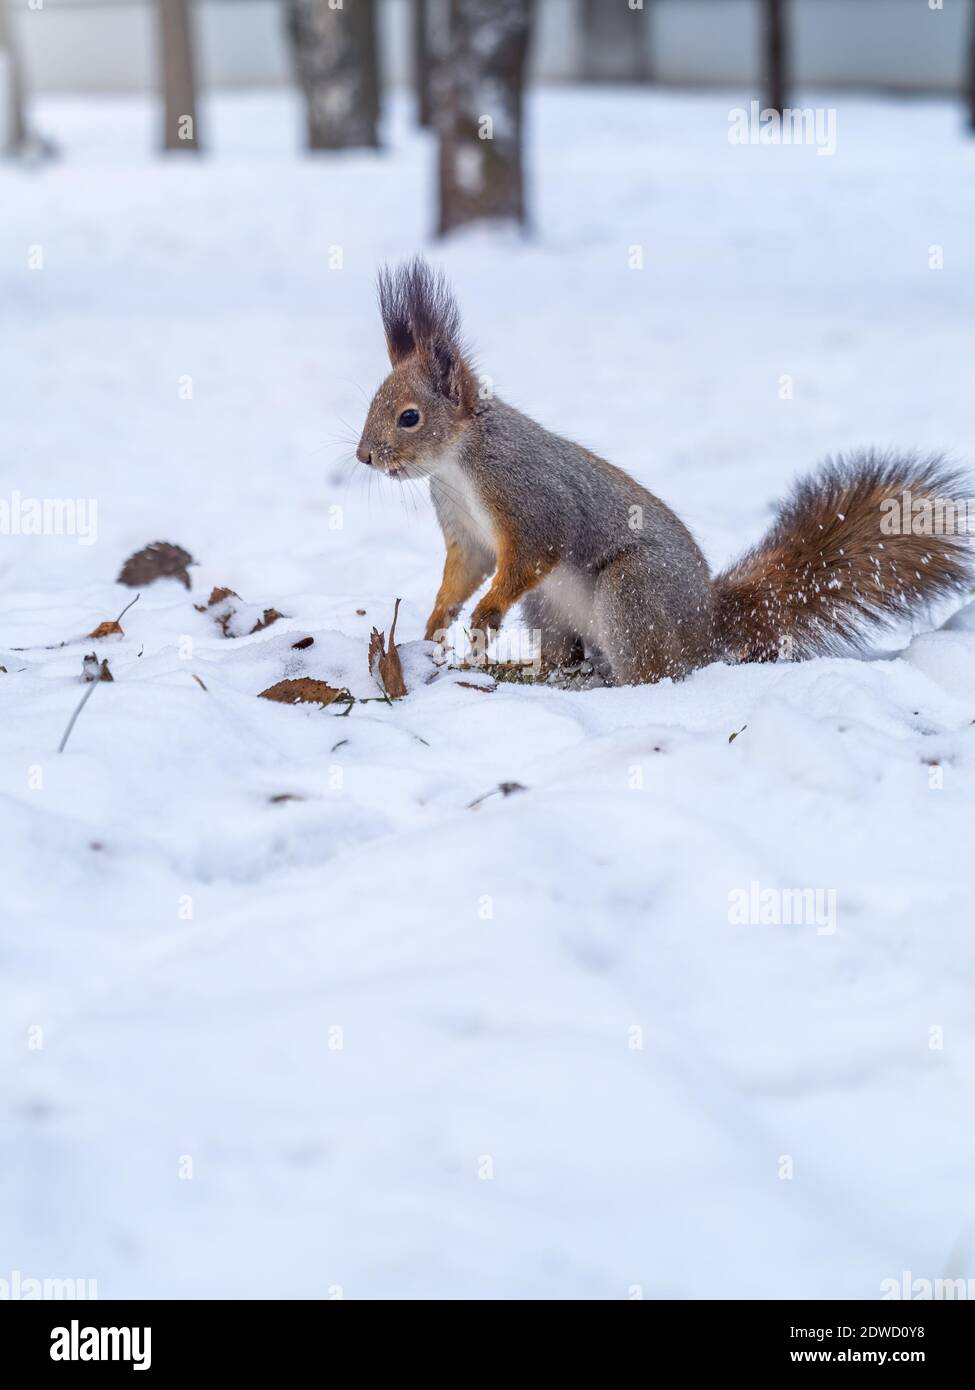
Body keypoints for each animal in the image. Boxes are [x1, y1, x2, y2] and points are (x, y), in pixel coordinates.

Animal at [355, 258, 973, 684]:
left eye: (409, 417)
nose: (364, 456)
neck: (457, 466)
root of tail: (706, 627)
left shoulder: (530, 499)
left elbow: (531, 553)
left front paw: (484, 615)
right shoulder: (467, 534)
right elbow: (464, 571)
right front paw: (437, 623)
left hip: (635, 592)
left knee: (653, 673)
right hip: (551, 609)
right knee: (565, 652)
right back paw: (537, 672)